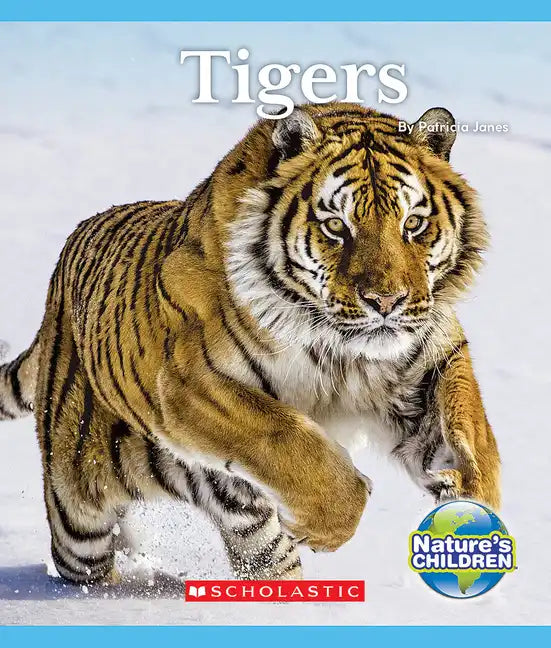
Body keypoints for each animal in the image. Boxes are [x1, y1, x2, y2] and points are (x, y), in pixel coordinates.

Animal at [0, 102, 500, 585]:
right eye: (337, 227)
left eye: (413, 224)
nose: (386, 301)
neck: (344, 350)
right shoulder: (189, 382)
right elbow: (286, 436)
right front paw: (326, 525)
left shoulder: (431, 356)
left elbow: (471, 426)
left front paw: (472, 503)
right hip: (77, 513)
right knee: (85, 558)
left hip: (242, 524)